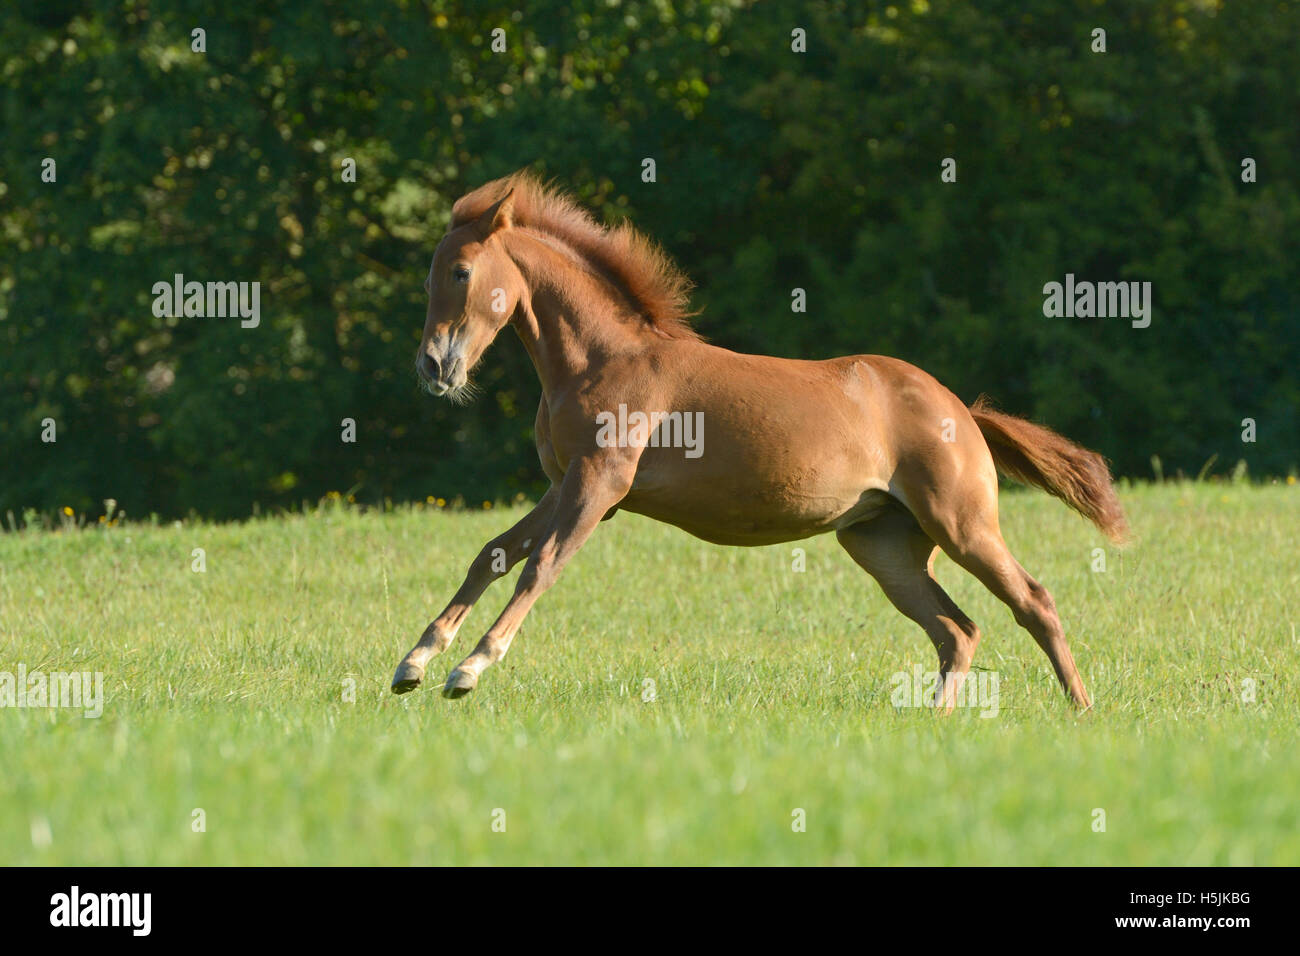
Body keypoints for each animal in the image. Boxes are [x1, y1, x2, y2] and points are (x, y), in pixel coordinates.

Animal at [391, 171, 1128, 711]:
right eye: (429, 275)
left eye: (460, 272)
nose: (432, 367)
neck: (602, 359)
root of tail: (962, 411)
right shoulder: (565, 484)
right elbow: (490, 555)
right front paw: (413, 663)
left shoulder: (599, 484)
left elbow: (539, 565)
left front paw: (469, 669)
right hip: (882, 543)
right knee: (957, 630)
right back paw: (938, 719)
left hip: (961, 522)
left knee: (1033, 601)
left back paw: (1081, 708)